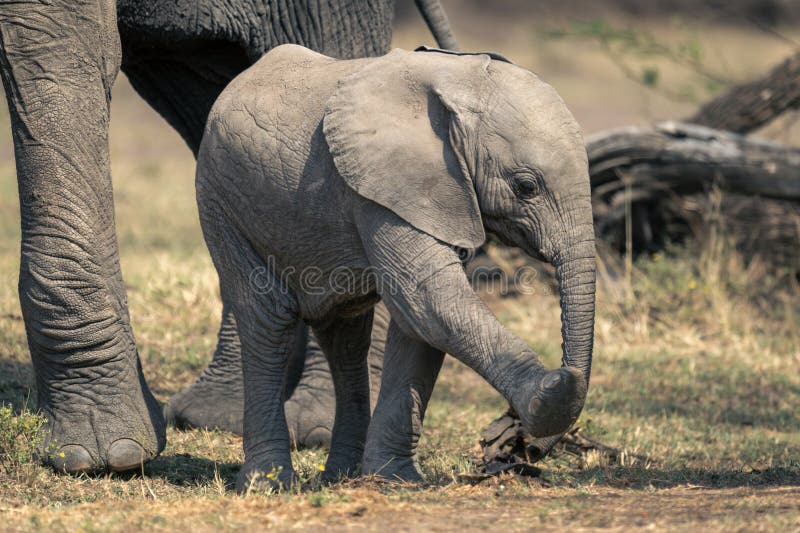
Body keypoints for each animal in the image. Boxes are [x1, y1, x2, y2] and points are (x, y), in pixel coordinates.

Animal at [195, 44, 596, 489]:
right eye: (526, 186)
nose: (526, 448)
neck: (461, 79)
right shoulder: (385, 189)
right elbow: (426, 299)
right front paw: (553, 394)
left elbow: (419, 321)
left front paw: (396, 479)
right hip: (221, 200)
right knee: (268, 321)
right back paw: (269, 483)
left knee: (346, 335)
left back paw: (339, 476)